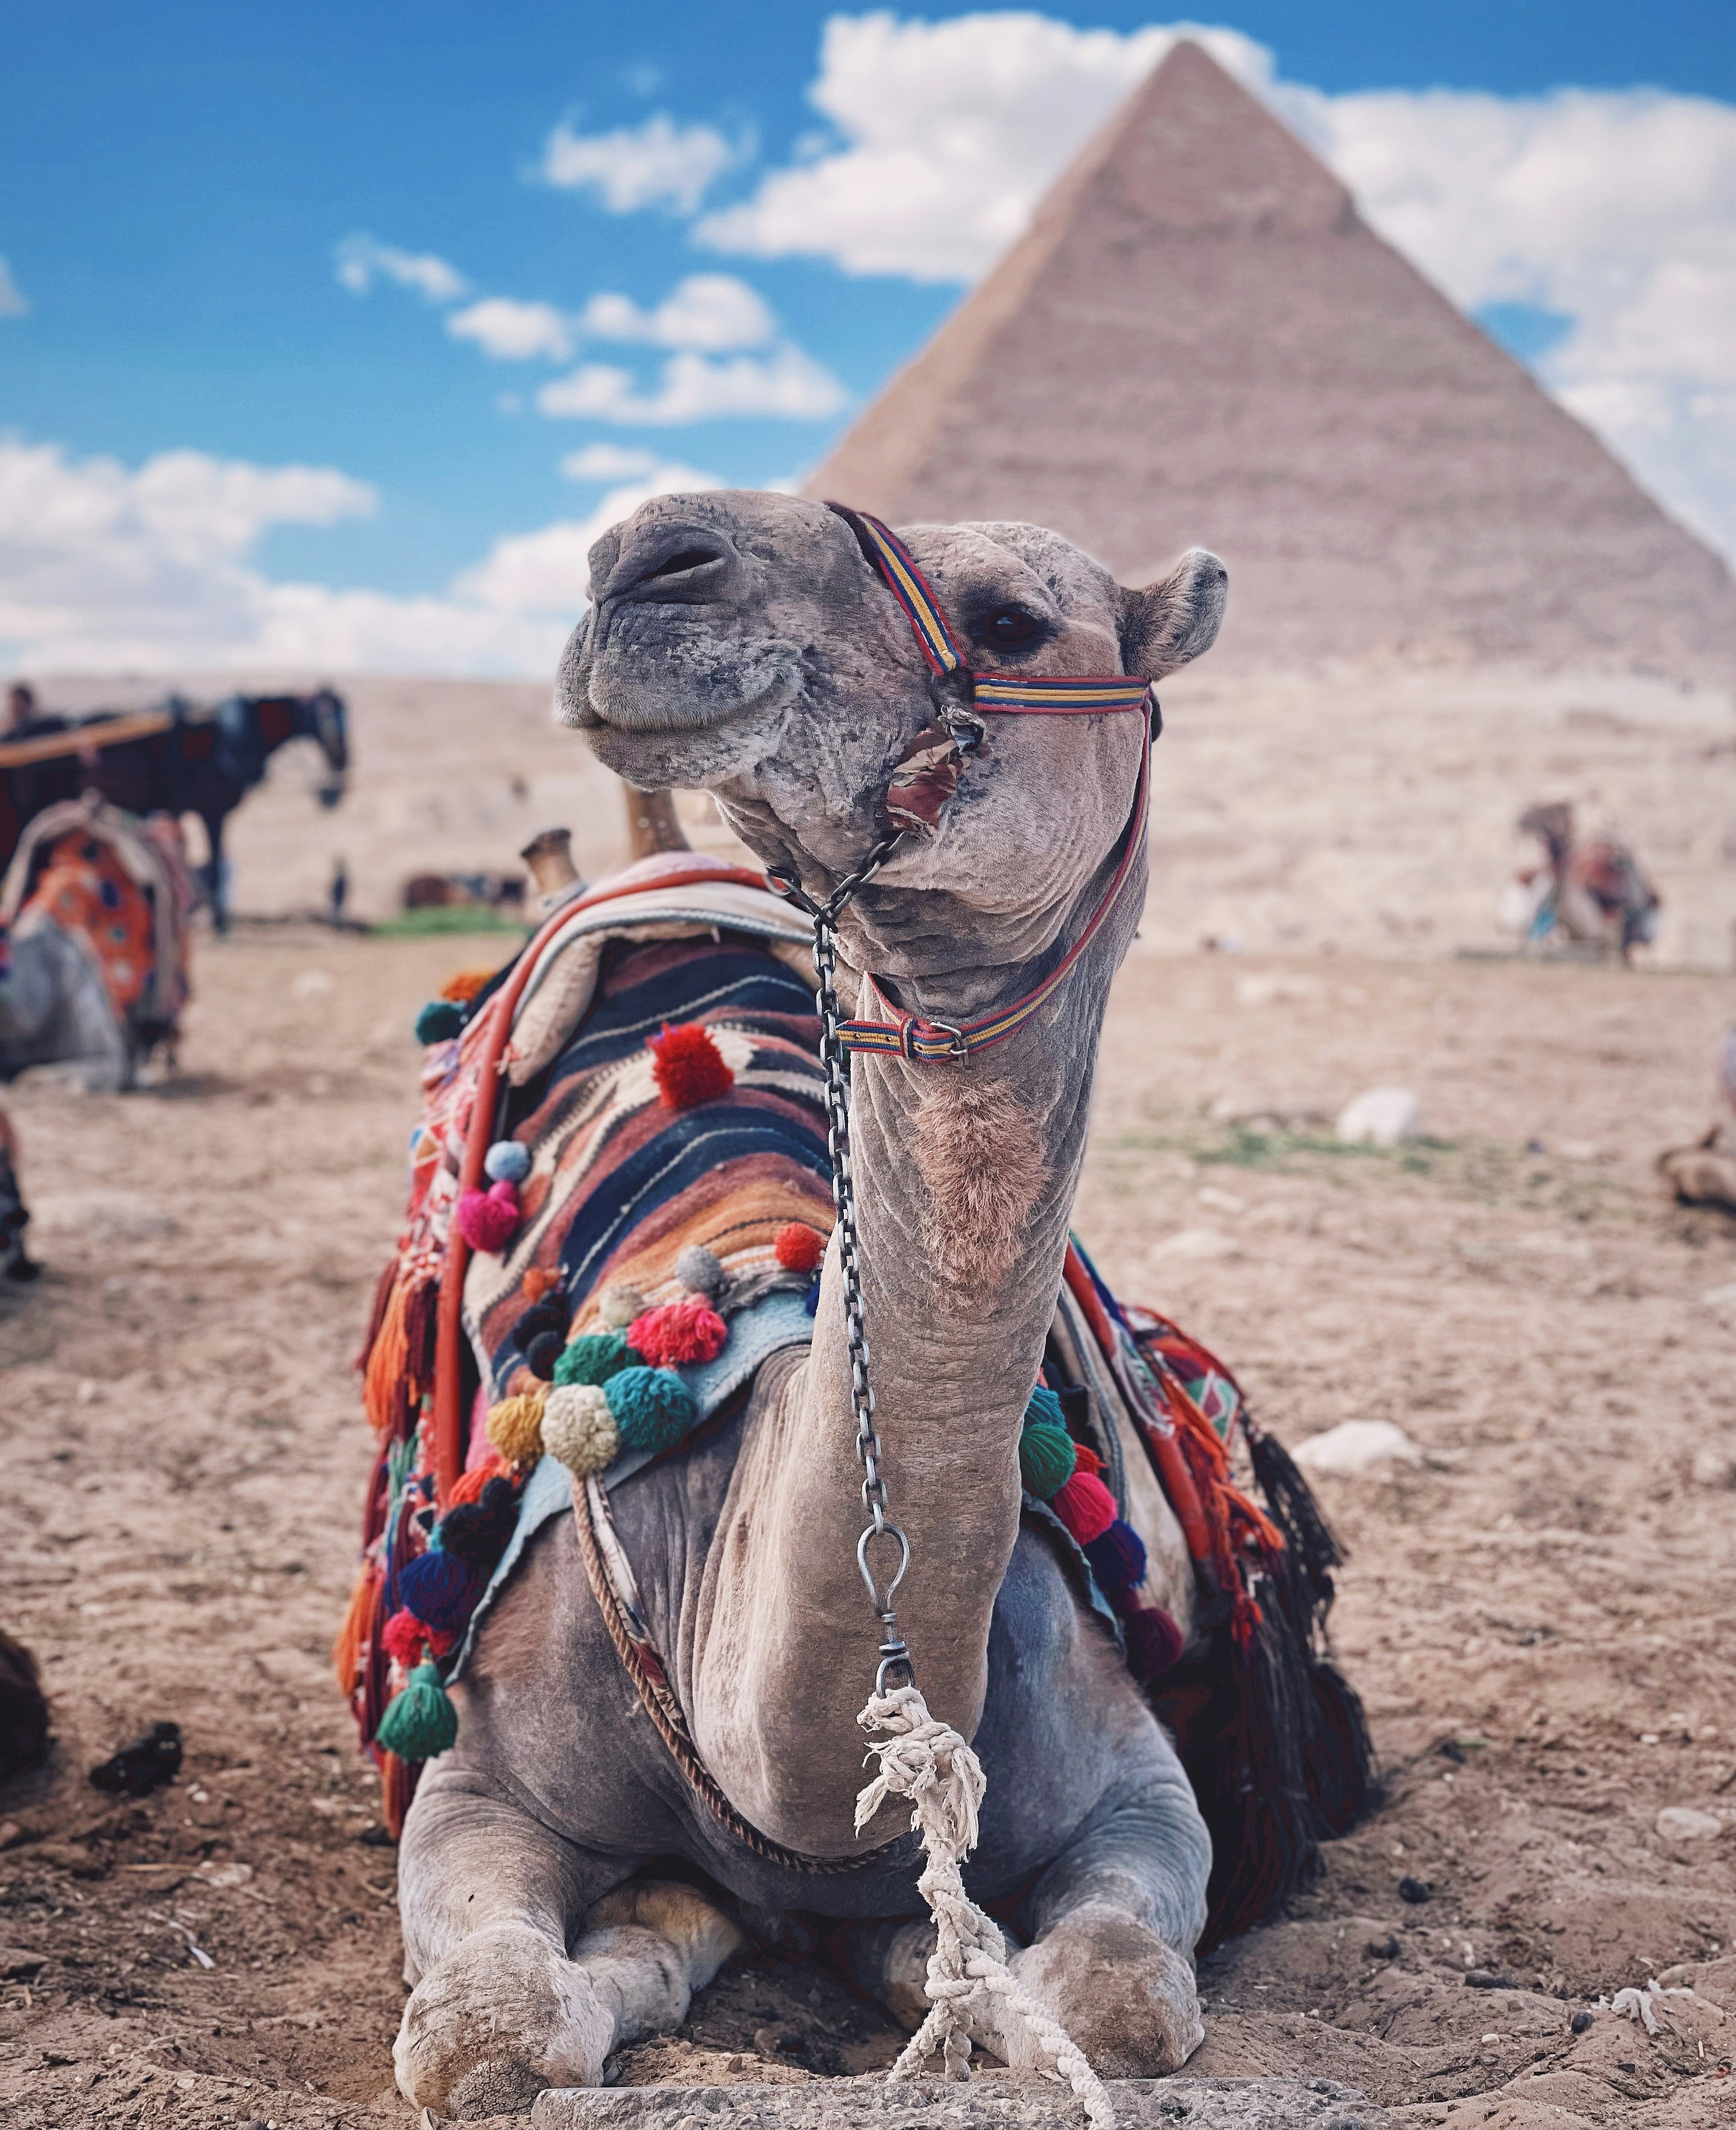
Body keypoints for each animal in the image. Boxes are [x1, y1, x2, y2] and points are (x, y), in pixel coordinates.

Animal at [379, 493, 1361, 2116]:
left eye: (1013, 617)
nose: (643, 561)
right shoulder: (474, 1772)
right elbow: (490, 2038)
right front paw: (660, 1935)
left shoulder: (1140, 1779)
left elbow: (1110, 2000)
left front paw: (936, 1965)